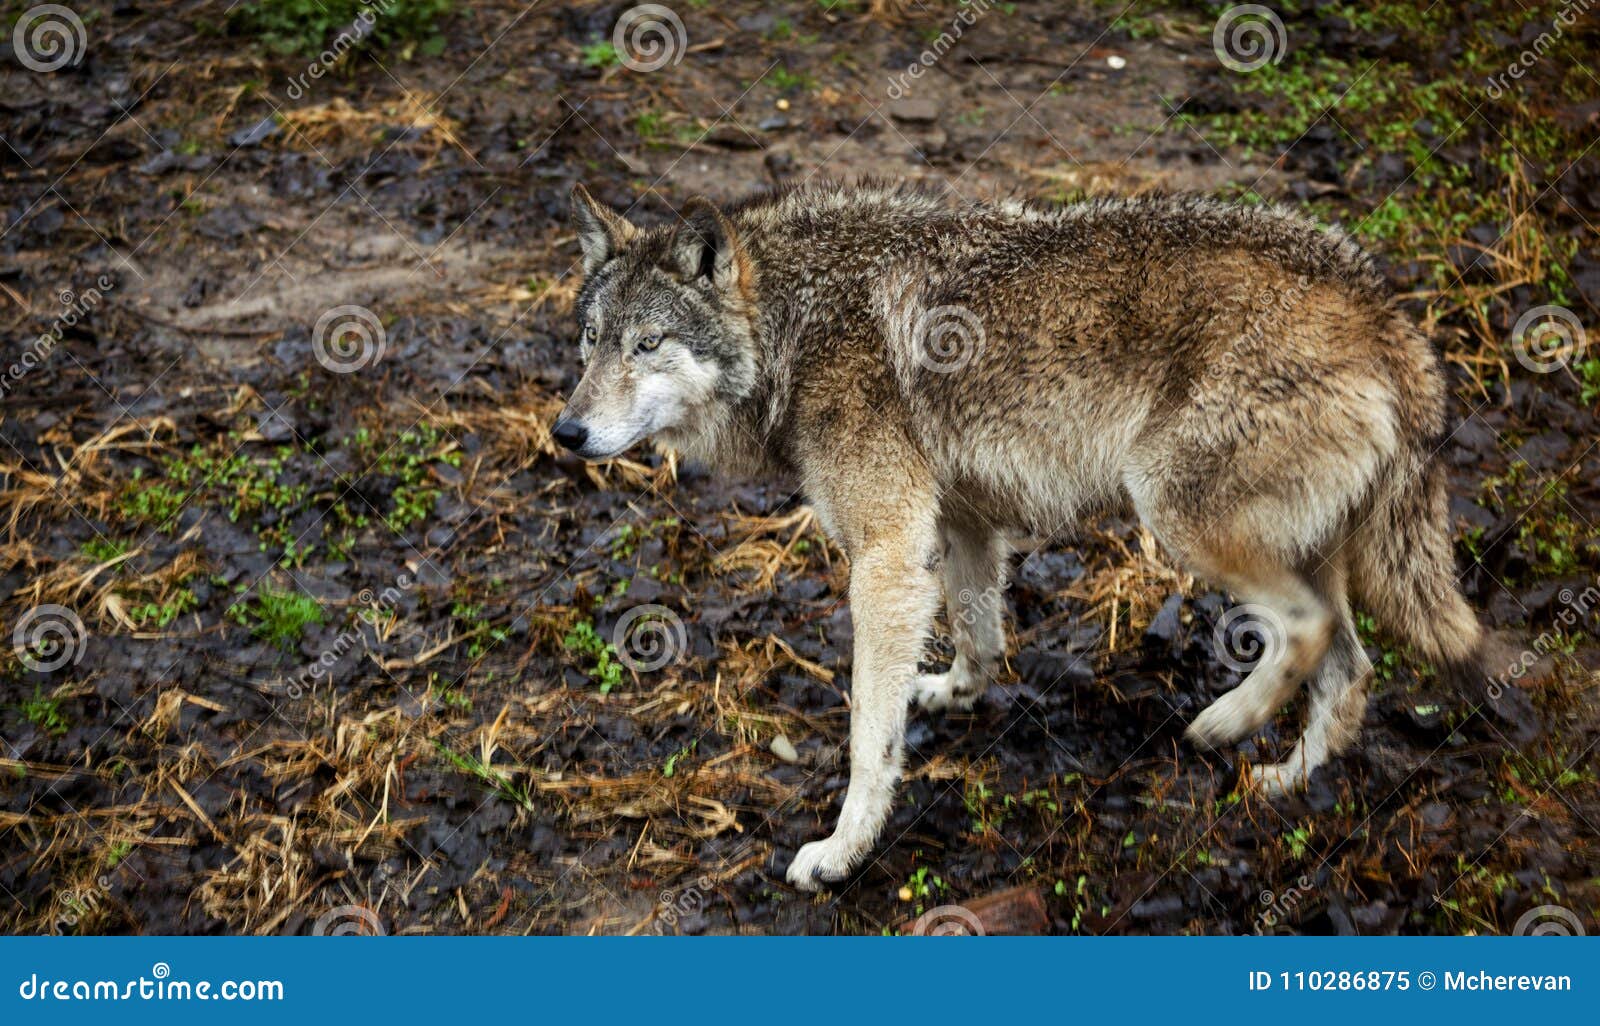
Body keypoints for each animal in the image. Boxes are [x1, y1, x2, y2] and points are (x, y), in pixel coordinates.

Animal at [554, 180, 1495, 891]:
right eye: (591, 340)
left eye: (649, 345)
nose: (566, 432)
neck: (797, 325)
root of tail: (1383, 308)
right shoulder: (961, 526)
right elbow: (980, 637)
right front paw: (952, 693)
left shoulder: (886, 553)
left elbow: (869, 737)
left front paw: (842, 851)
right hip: (1291, 545)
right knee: (1352, 668)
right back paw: (1285, 782)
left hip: (1178, 519)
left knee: (1310, 630)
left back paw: (1223, 725)